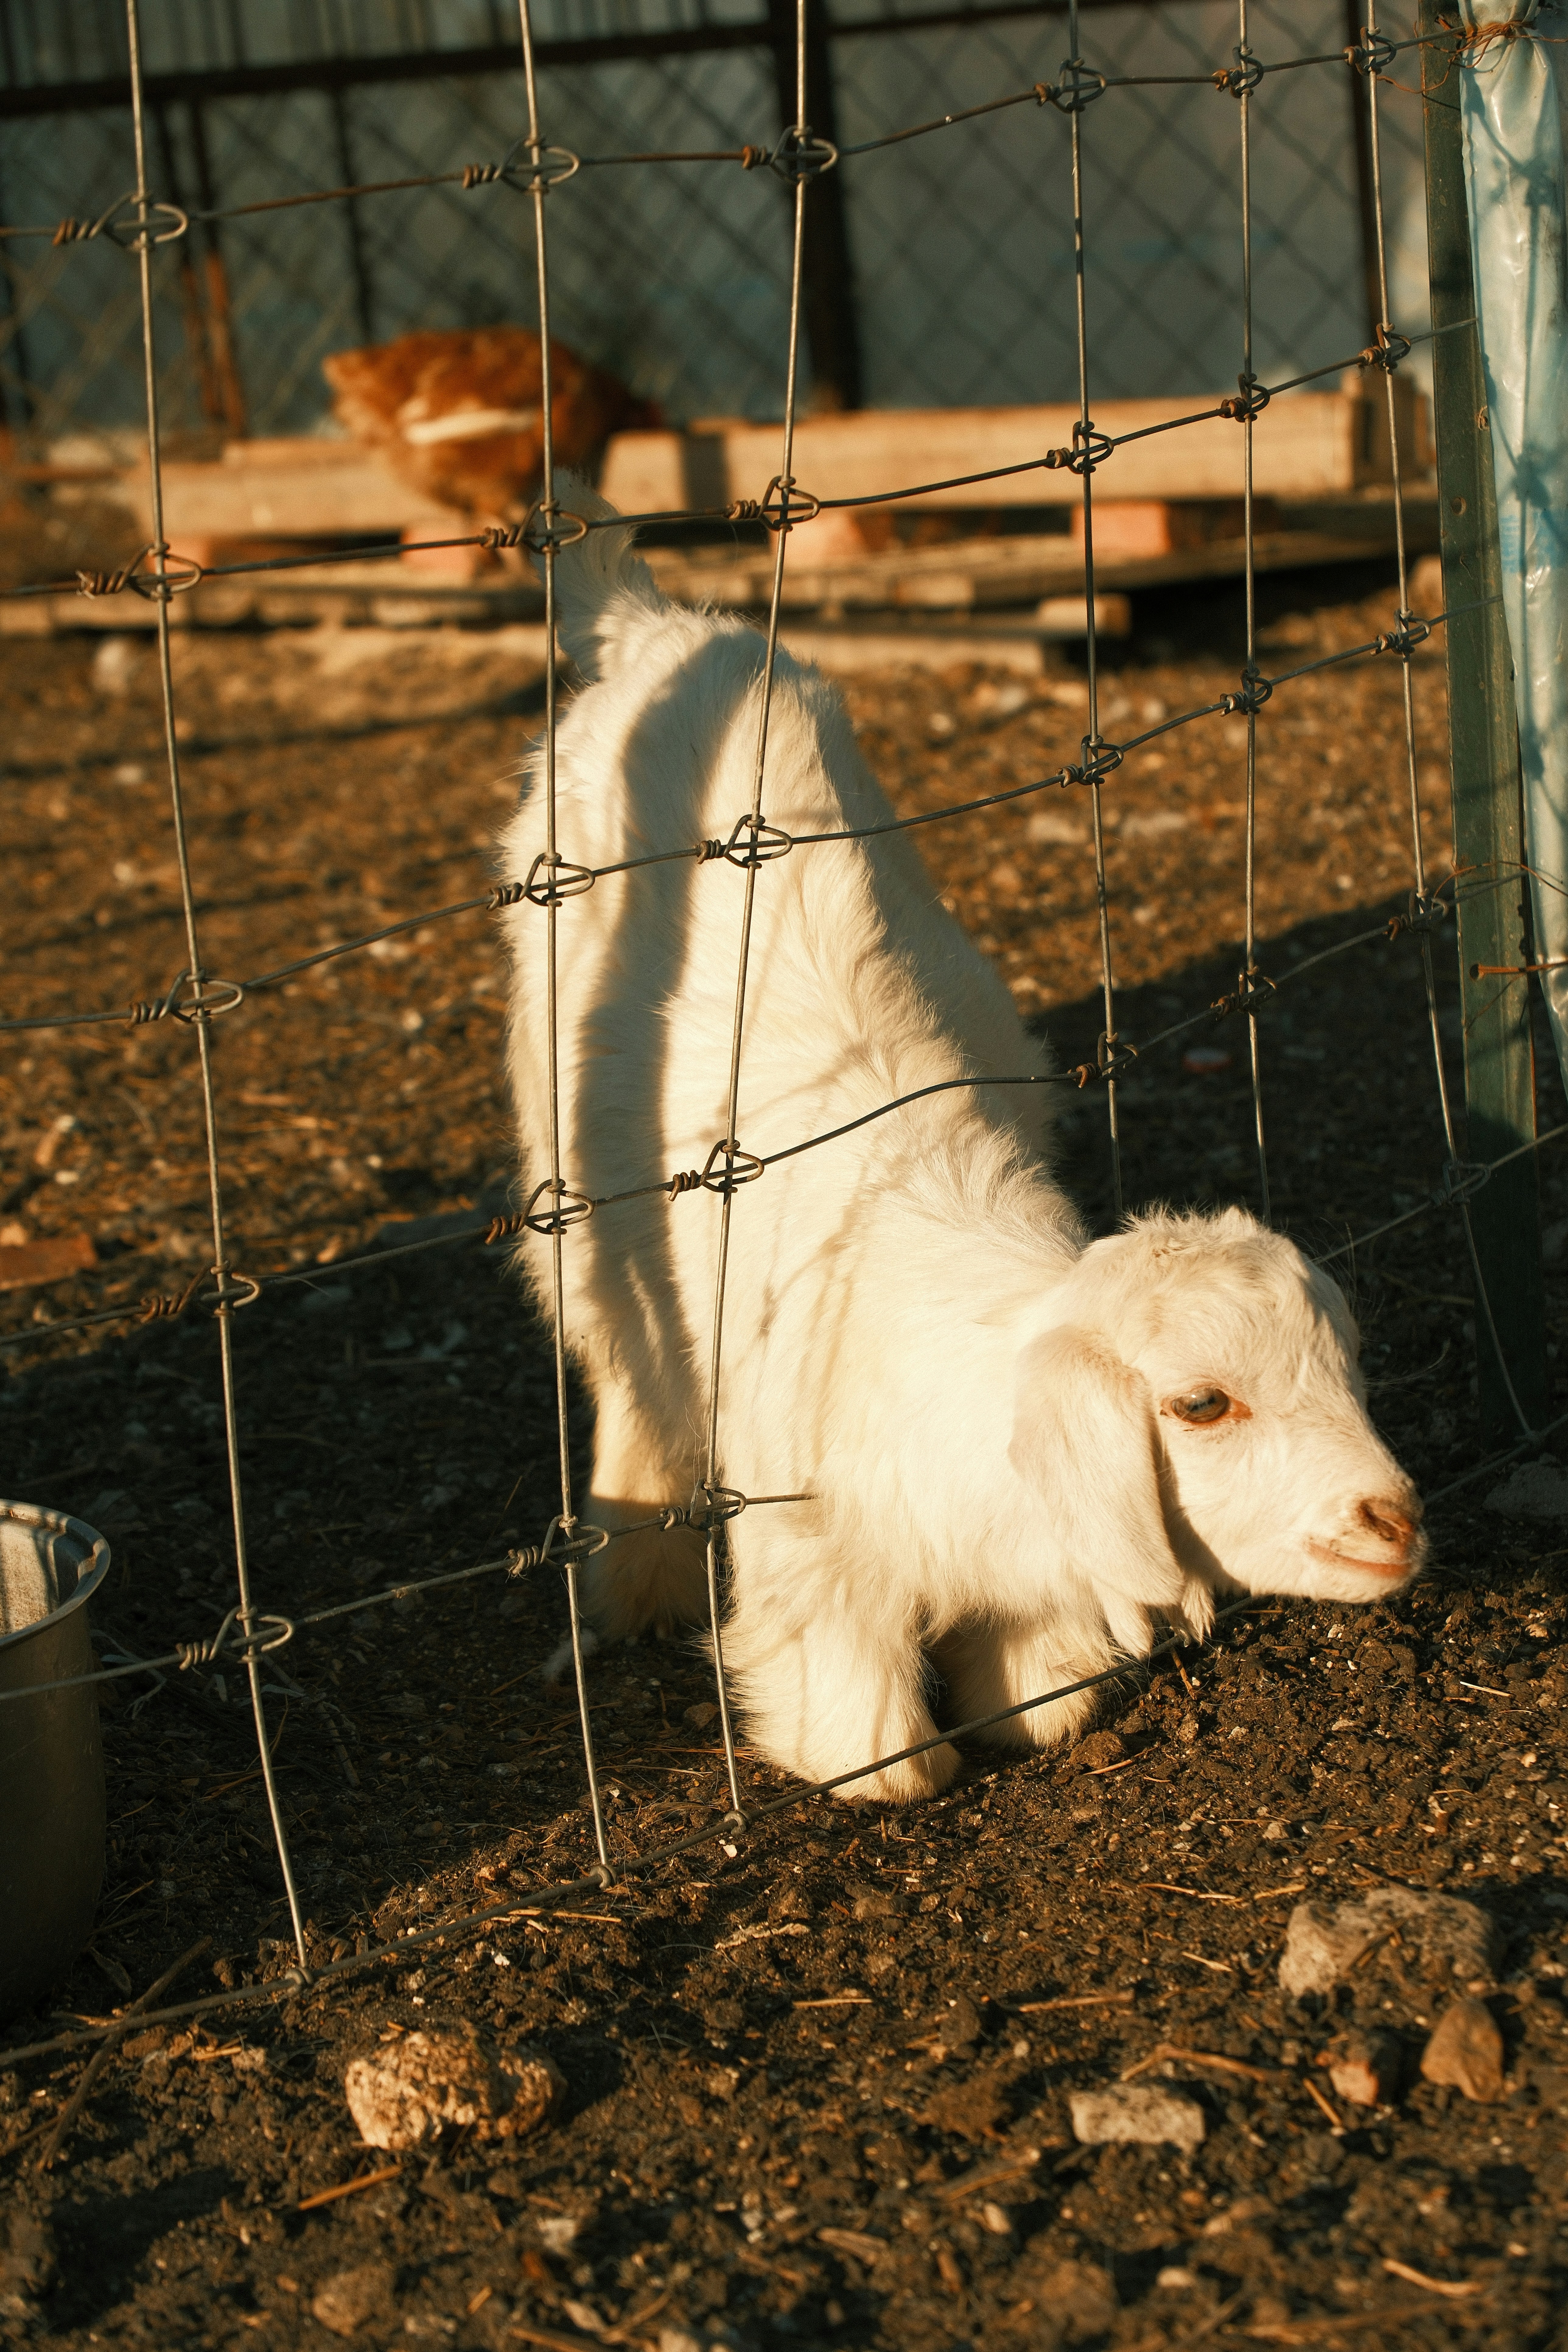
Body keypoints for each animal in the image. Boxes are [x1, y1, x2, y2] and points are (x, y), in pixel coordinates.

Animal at [498, 487, 1425, 1802]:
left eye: (1345, 1363)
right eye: (1200, 1405)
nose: (1393, 1522)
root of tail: (663, 628)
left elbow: (1045, 1690)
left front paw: (1033, 1697)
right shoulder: (809, 1544)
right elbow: (871, 1732)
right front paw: (874, 1758)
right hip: (573, 1198)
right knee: (628, 1375)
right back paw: (631, 1590)